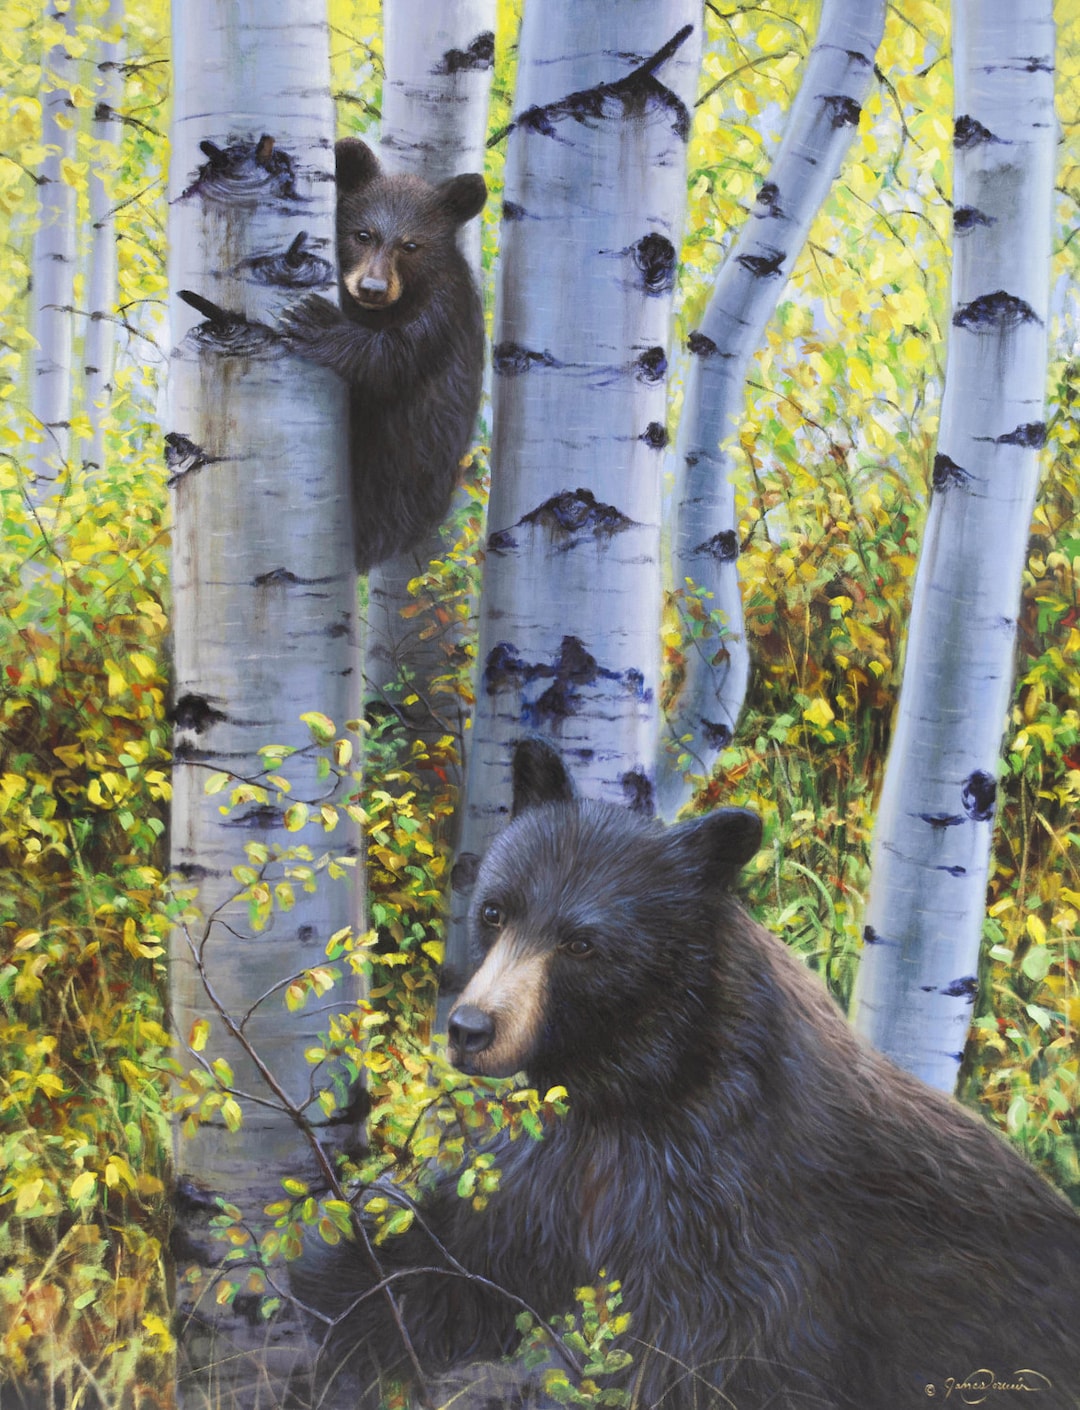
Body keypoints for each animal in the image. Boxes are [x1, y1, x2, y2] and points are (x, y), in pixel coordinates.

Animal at [280, 138, 486, 573]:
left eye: (410, 245)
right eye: (363, 234)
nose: (372, 288)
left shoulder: (444, 309)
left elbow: (391, 359)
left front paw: (313, 321)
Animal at [292, 739, 1080, 1409]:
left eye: (582, 944)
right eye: (495, 910)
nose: (470, 1030)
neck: (630, 1085)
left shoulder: (726, 1207)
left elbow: (692, 1354)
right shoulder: (544, 1174)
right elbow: (435, 1265)